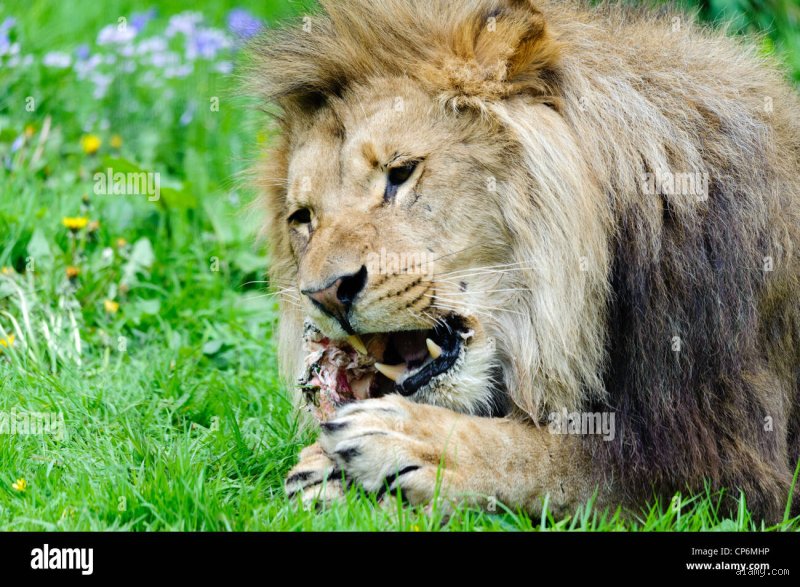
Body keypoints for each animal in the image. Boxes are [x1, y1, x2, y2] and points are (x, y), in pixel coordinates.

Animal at [249, 0, 800, 522]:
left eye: (401, 173)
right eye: (302, 218)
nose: (324, 294)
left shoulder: (727, 466)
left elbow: (558, 455)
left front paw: (409, 443)